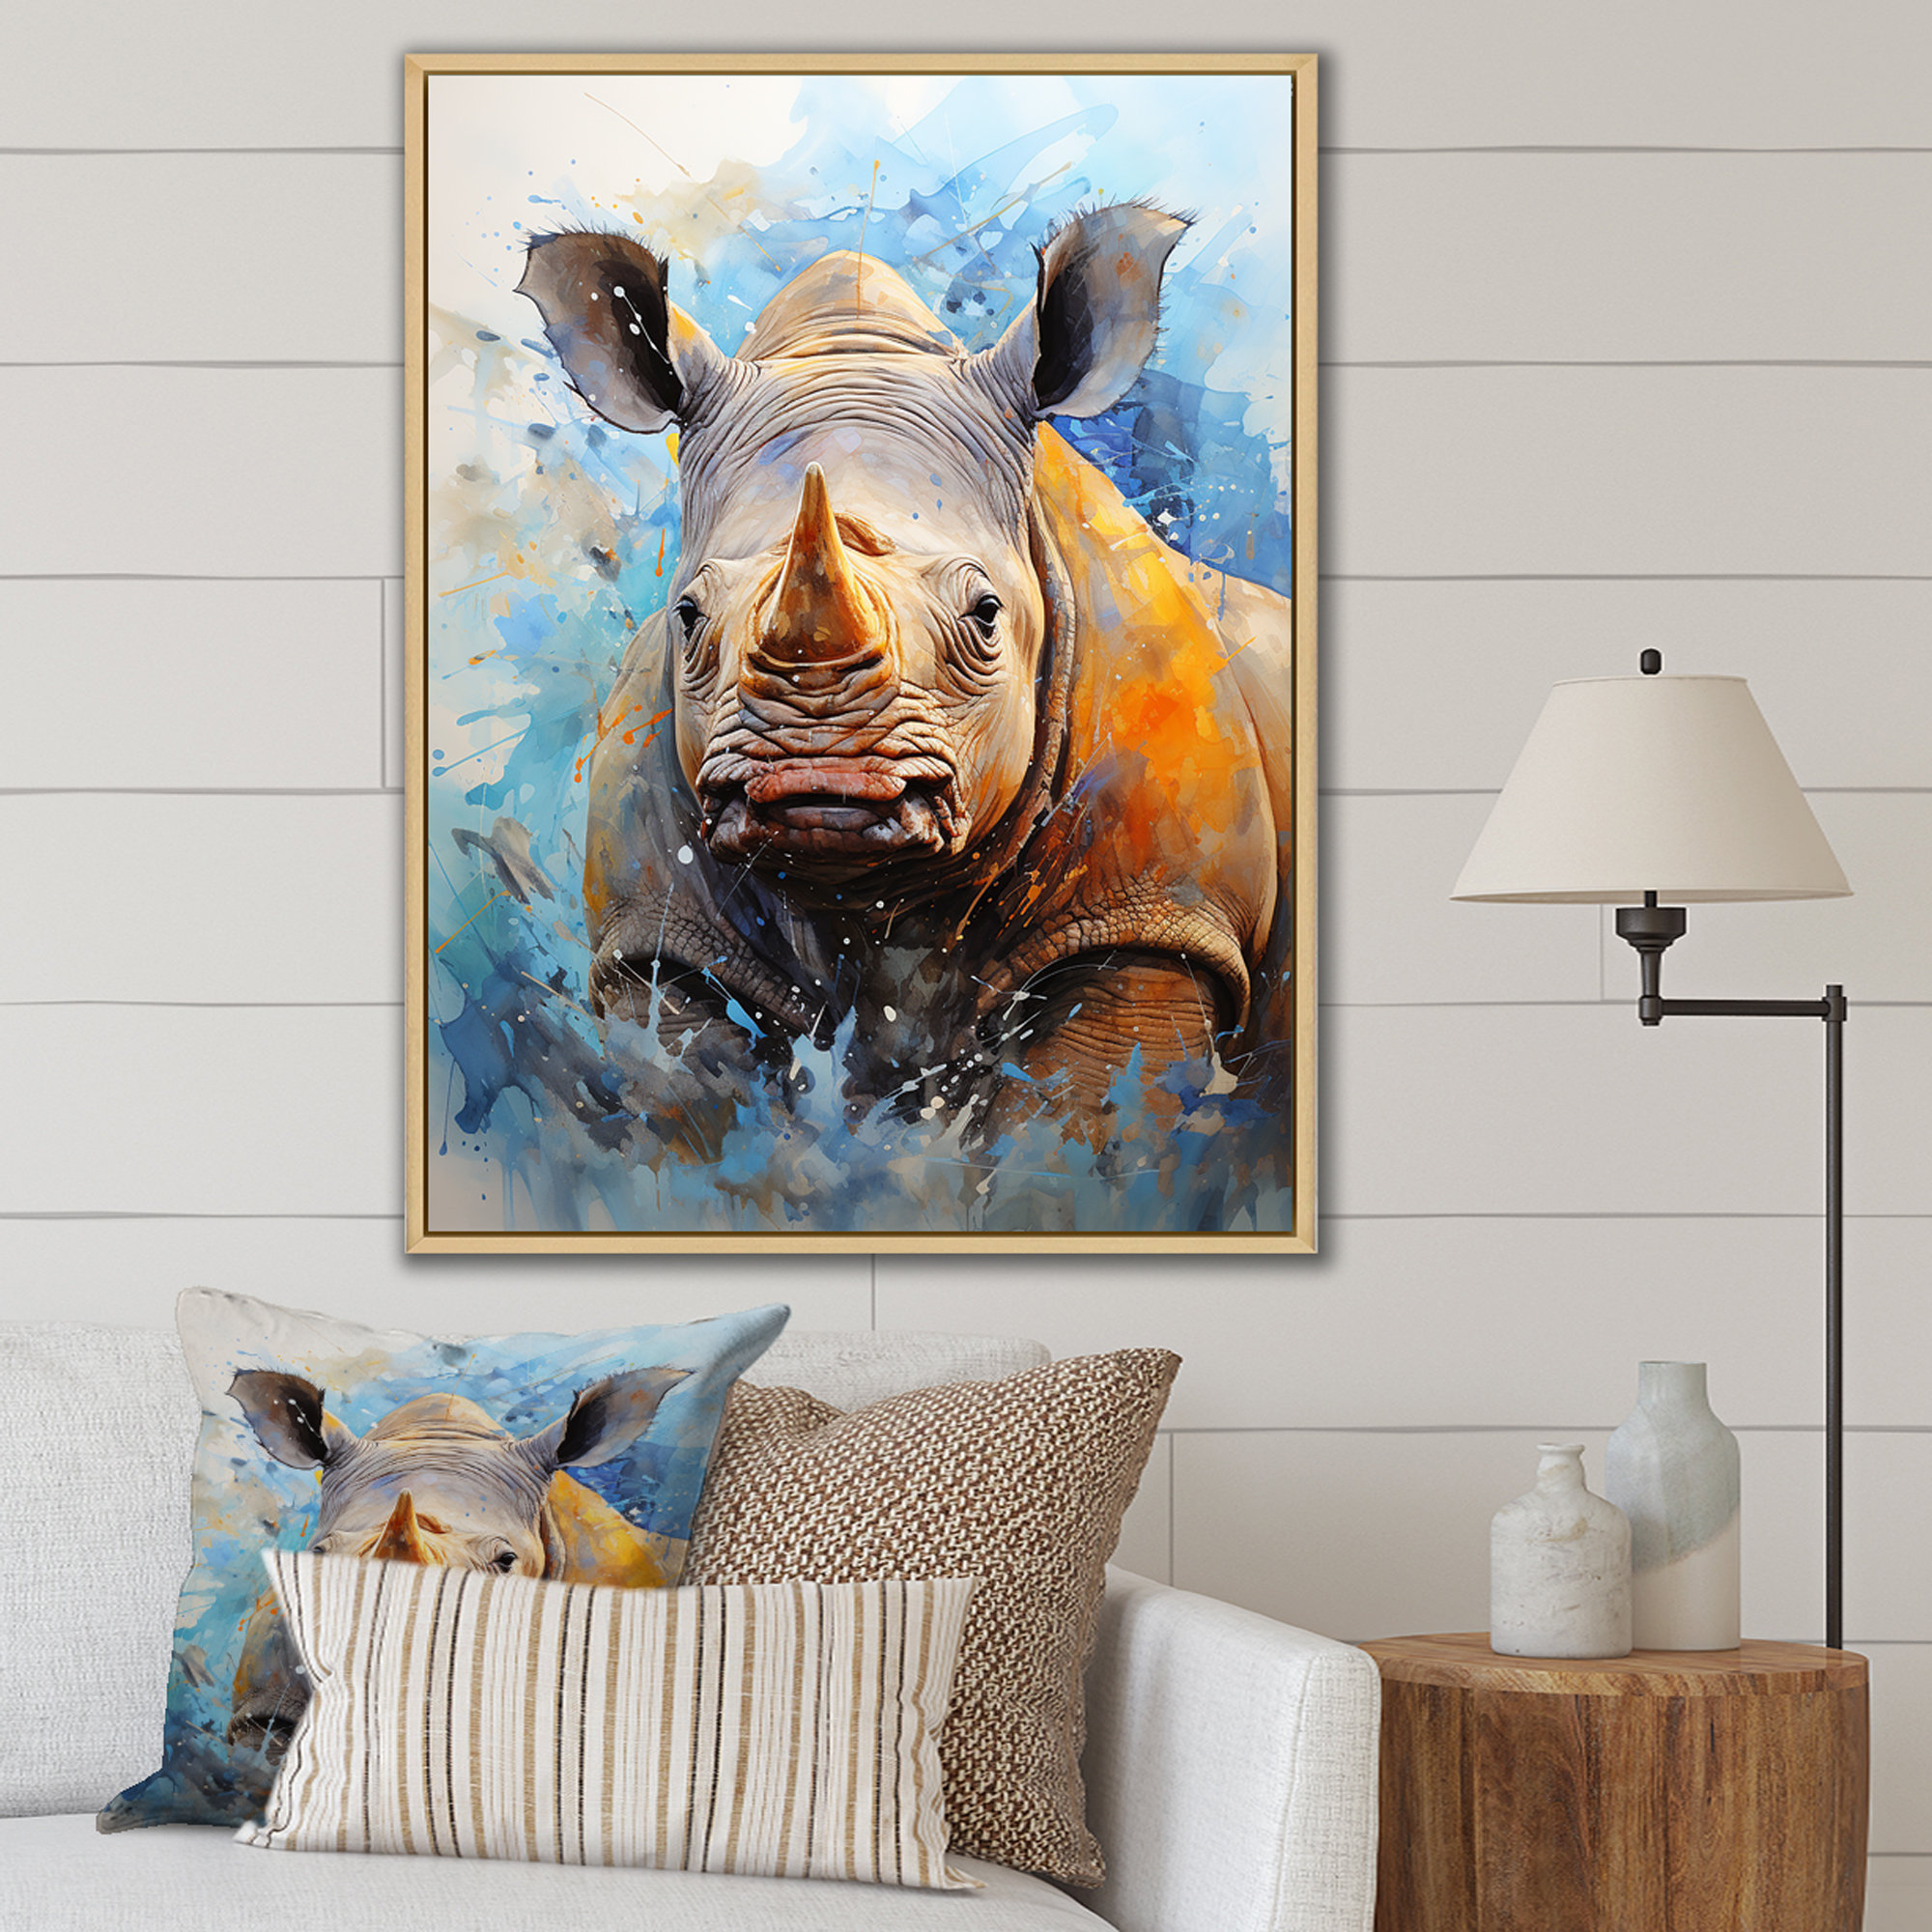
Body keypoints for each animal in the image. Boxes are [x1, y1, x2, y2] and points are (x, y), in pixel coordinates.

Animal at [517, 204, 1294, 1162]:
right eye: (690, 616)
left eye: (988, 615)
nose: (818, 772)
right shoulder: (661, 944)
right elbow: (692, 1121)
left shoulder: (1156, 919)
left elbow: (1073, 1138)